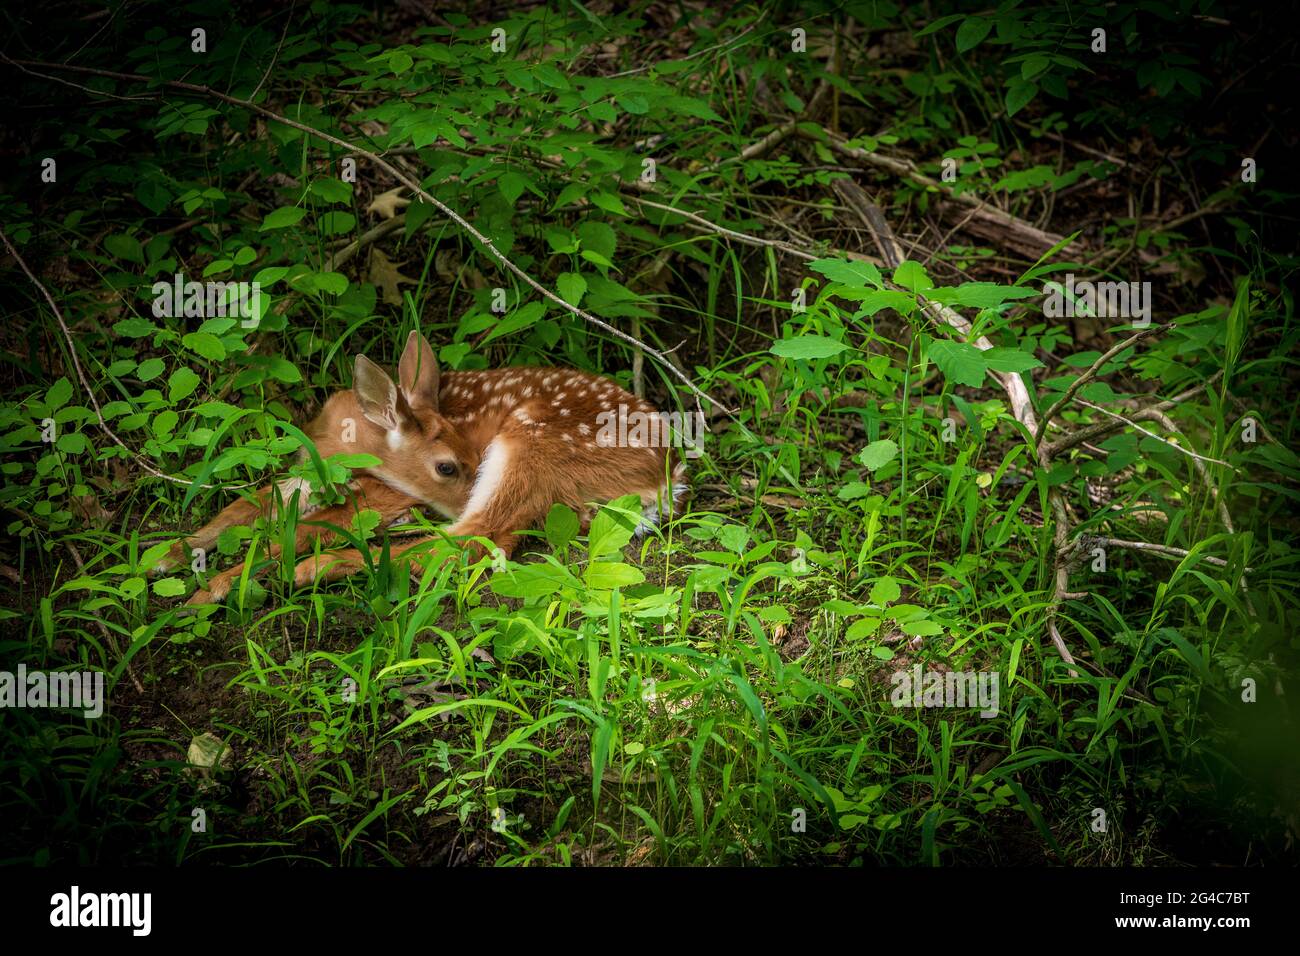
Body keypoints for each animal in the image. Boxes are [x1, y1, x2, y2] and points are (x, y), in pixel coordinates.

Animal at [155, 331, 690, 605]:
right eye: (448, 467)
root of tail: (667, 478)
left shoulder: (385, 491)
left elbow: (300, 528)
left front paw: (216, 587)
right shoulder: (305, 472)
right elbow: (245, 507)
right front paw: (167, 556)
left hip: (531, 440)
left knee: (474, 539)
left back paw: (313, 570)